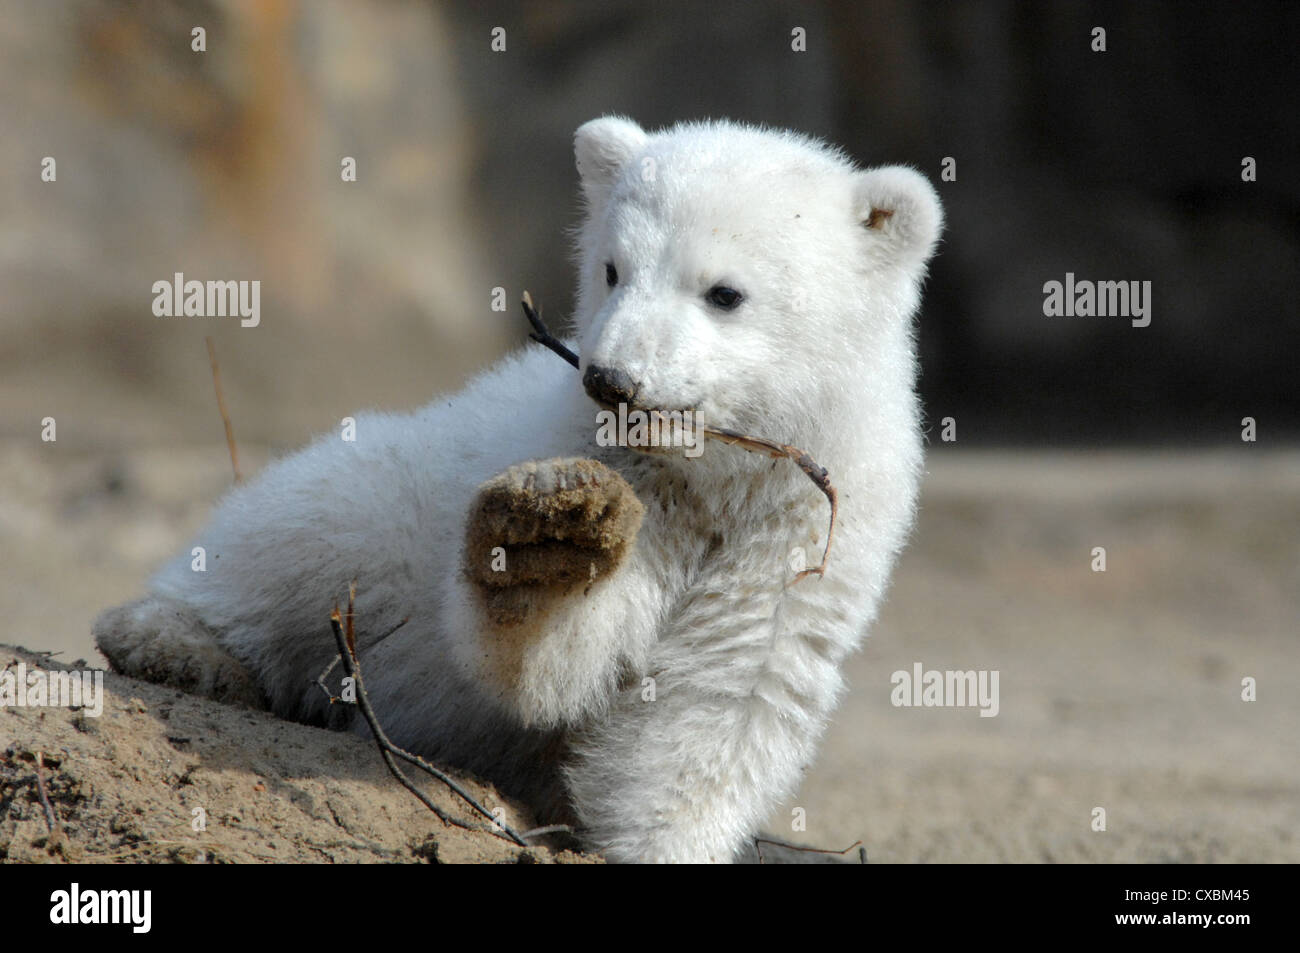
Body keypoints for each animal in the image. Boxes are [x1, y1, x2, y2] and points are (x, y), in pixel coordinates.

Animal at [93, 116, 943, 863]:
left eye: (724, 292)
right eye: (612, 267)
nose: (613, 380)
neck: (716, 477)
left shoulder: (803, 521)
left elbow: (719, 687)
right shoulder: (611, 463)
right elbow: (562, 651)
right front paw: (544, 544)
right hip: (397, 484)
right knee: (299, 530)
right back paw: (175, 643)